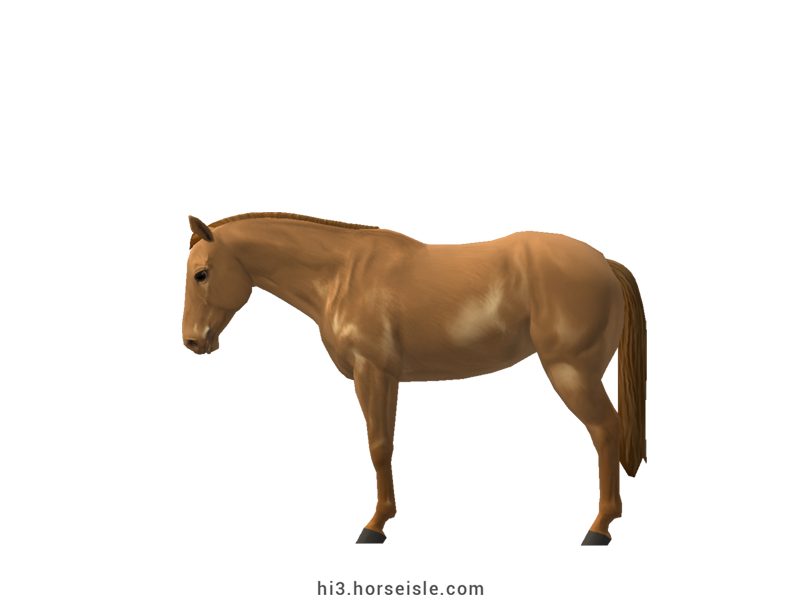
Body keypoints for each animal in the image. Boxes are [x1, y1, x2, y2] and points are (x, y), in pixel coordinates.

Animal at [182, 214, 646, 535]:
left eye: (201, 274)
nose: (191, 341)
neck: (342, 274)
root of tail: (604, 263)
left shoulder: (371, 371)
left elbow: (378, 445)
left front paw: (378, 520)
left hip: (573, 370)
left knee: (606, 431)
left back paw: (602, 523)